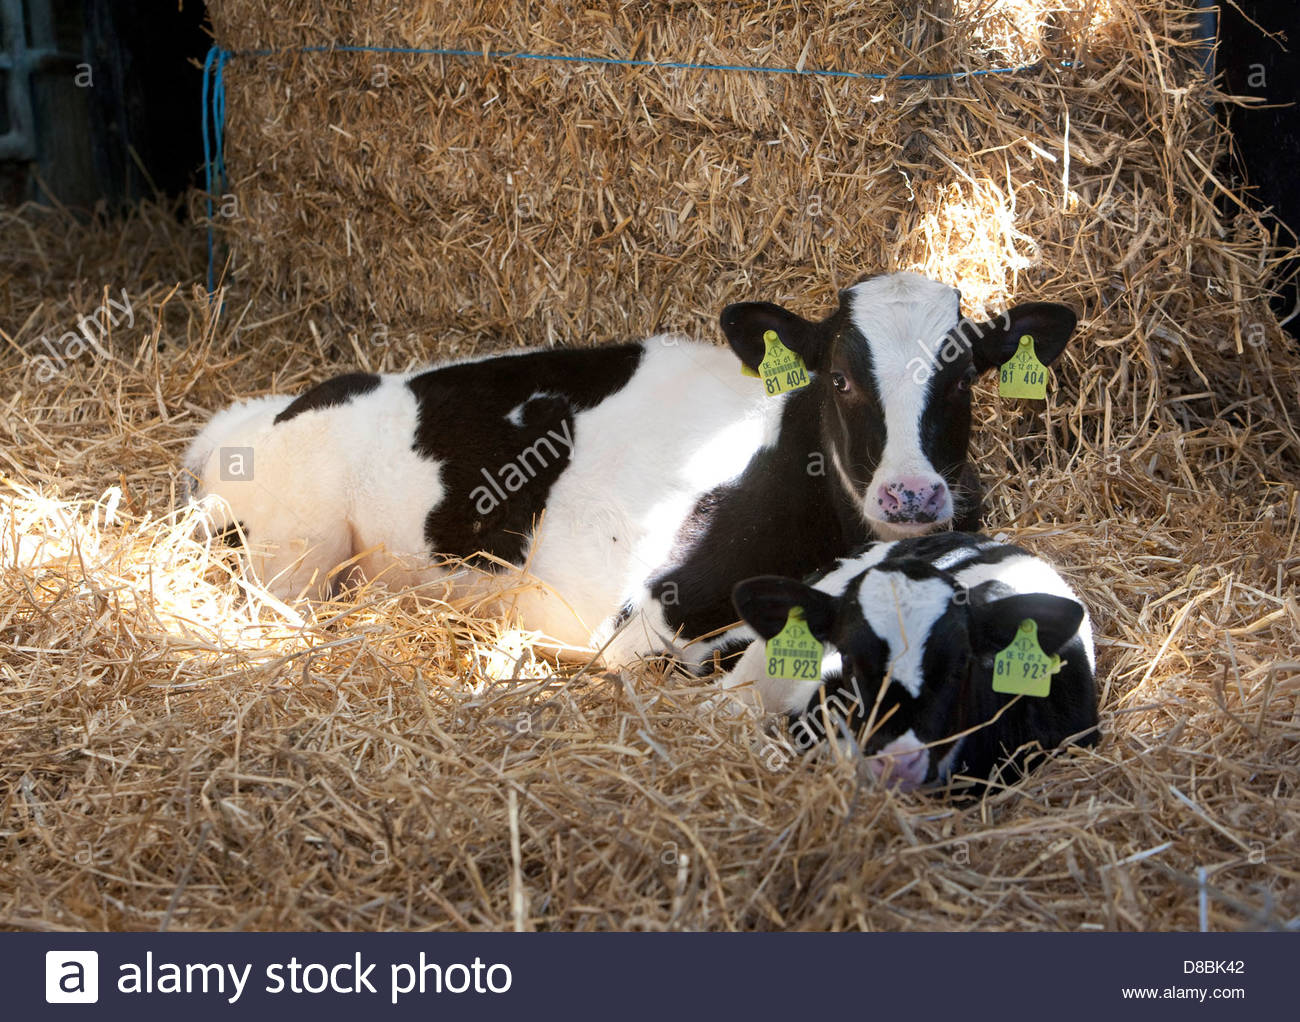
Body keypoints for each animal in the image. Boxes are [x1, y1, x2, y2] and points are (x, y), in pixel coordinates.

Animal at [182, 272, 1077, 666]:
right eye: (841, 378)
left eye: (962, 378)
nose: (913, 494)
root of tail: (256, 415)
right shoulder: (645, 617)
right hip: (297, 553)